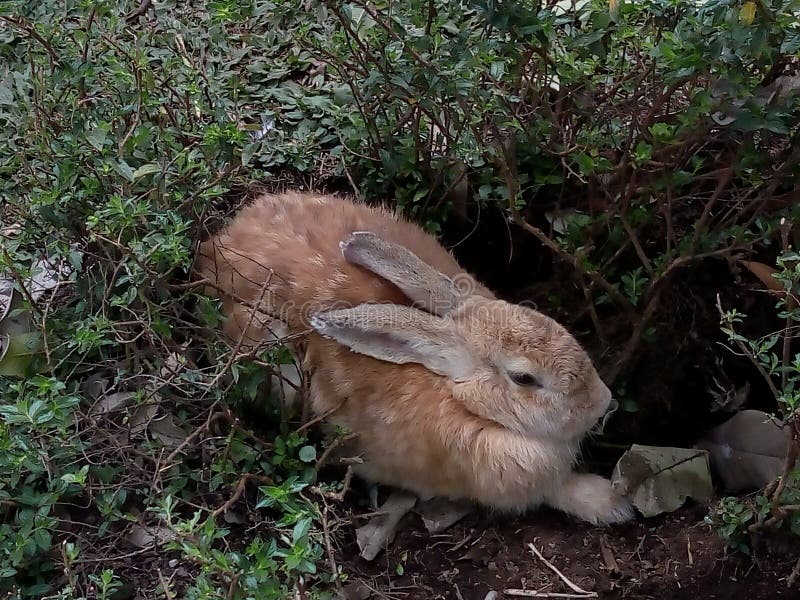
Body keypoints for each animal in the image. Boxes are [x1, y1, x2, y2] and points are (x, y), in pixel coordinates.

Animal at [195, 190, 634, 525]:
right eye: (524, 379)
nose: (603, 402)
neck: (459, 396)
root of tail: (216, 248)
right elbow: (557, 491)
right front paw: (614, 504)